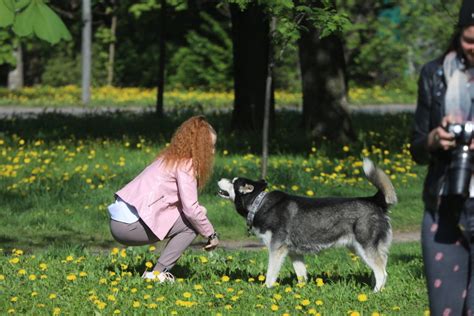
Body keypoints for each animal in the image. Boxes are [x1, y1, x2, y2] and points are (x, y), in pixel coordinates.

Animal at [218, 158, 396, 292]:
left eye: (233, 181)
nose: (219, 179)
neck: (259, 203)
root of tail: (373, 200)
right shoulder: (294, 252)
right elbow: (301, 274)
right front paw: (300, 291)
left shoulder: (277, 249)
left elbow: (270, 273)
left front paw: (266, 288)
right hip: (360, 248)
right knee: (382, 265)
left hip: (364, 247)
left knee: (382, 272)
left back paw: (375, 292)